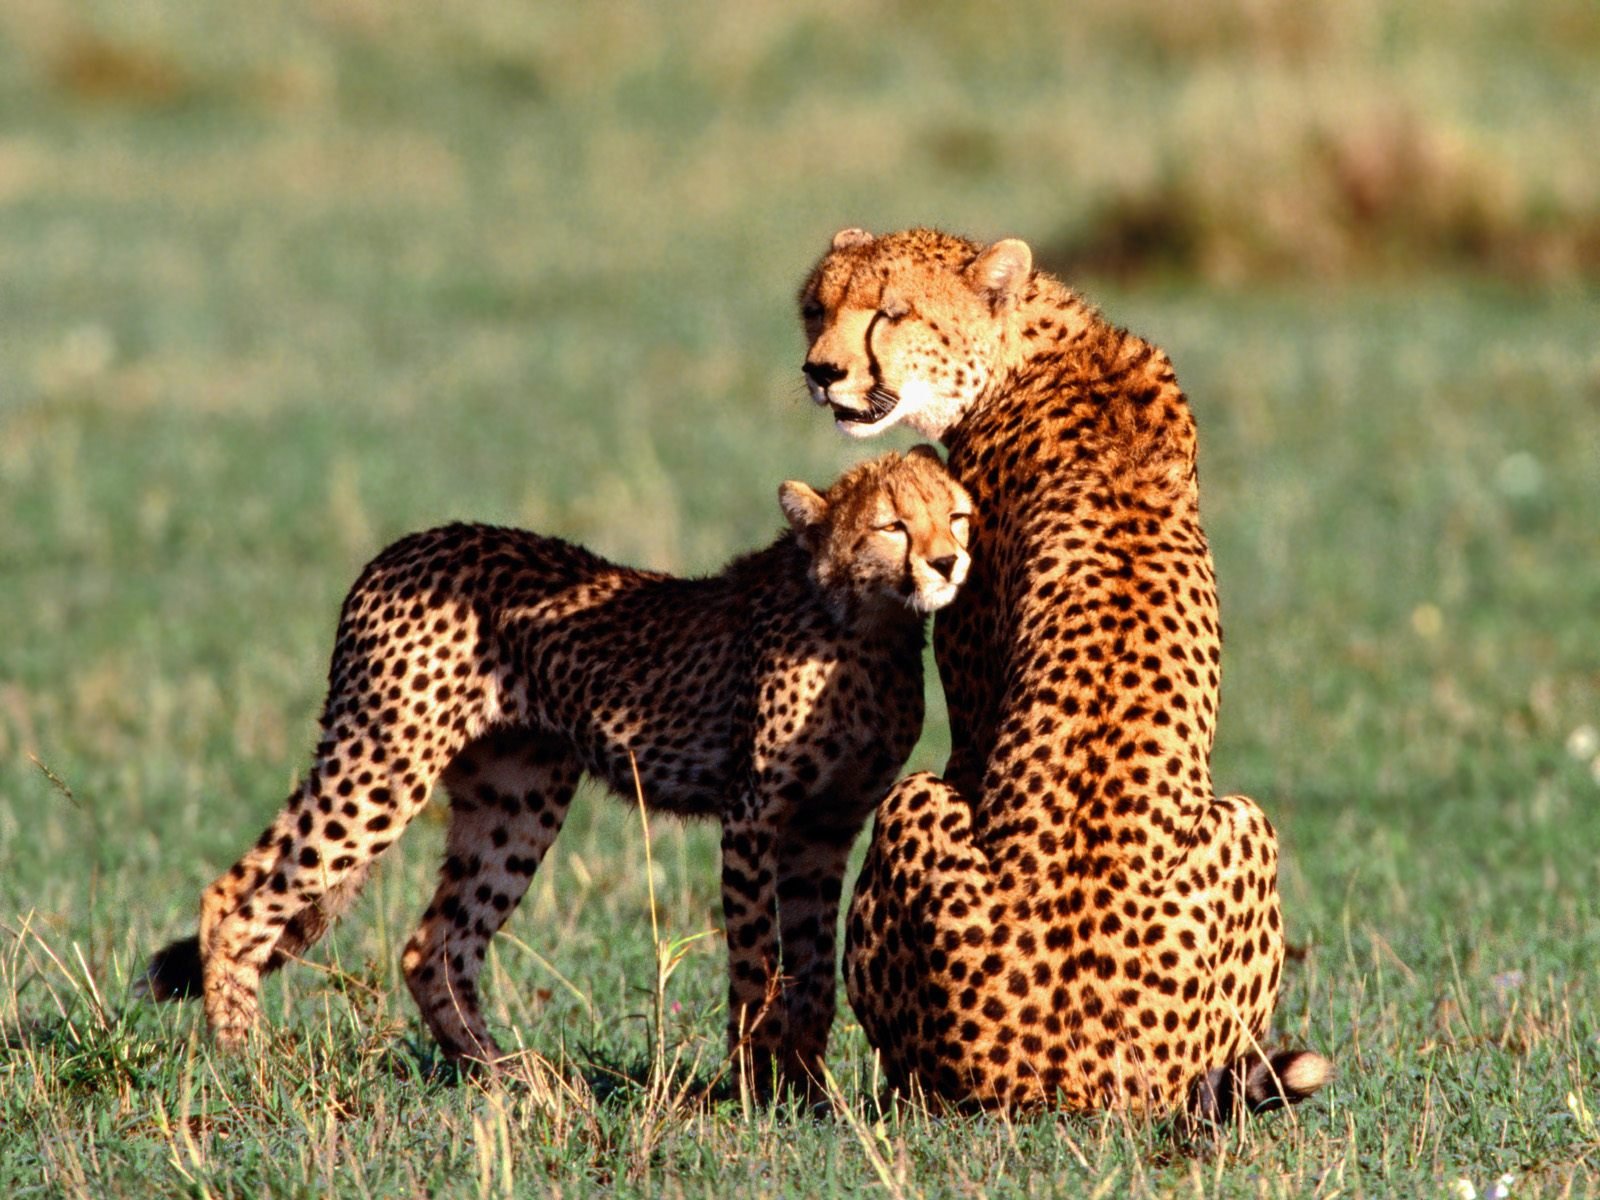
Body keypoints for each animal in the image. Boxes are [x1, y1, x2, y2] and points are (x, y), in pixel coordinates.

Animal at [141, 447, 973, 1094]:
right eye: (893, 525)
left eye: (958, 516)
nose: (948, 560)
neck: (870, 625)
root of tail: (403, 546)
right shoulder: (755, 817)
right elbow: (757, 963)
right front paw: (757, 1089)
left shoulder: (826, 828)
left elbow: (812, 970)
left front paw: (807, 1093)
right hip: (386, 764)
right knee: (249, 909)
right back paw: (246, 1065)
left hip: (514, 798)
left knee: (426, 944)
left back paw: (504, 1077)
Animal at [796, 226, 1329, 1118]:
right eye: (817, 307)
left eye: (890, 312)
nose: (821, 370)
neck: (1042, 349)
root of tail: (1062, 1069)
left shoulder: (972, 719)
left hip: (930, 801)